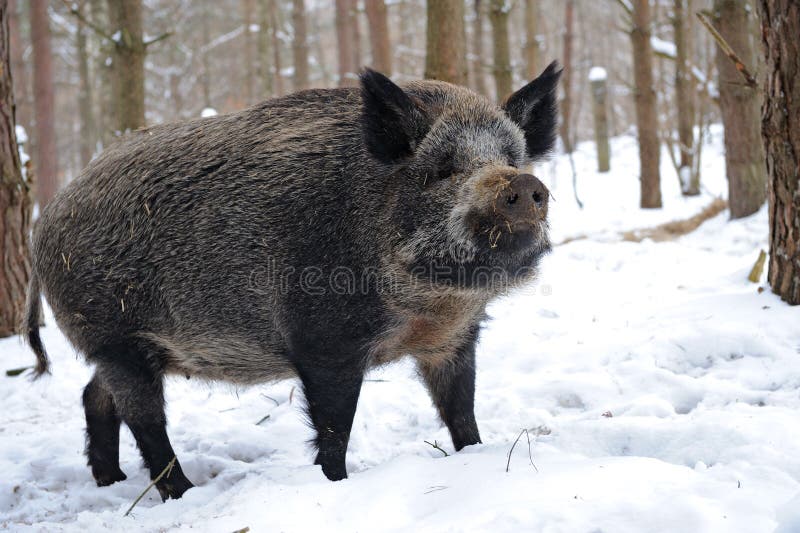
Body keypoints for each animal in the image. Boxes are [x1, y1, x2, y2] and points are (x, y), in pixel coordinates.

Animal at [25, 62, 561, 500]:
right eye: (443, 169)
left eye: (513, 157)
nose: (522, 184)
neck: (429, 304)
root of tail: (43, 223)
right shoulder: (324, 342)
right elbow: (335, 428)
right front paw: (335, 483)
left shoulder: (455, 339)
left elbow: (461, 411)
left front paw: (474, 455)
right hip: (115, 338)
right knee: (145, 421)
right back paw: (182, 494)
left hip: (121, 349)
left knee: (95, 397)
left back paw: (109, 481)